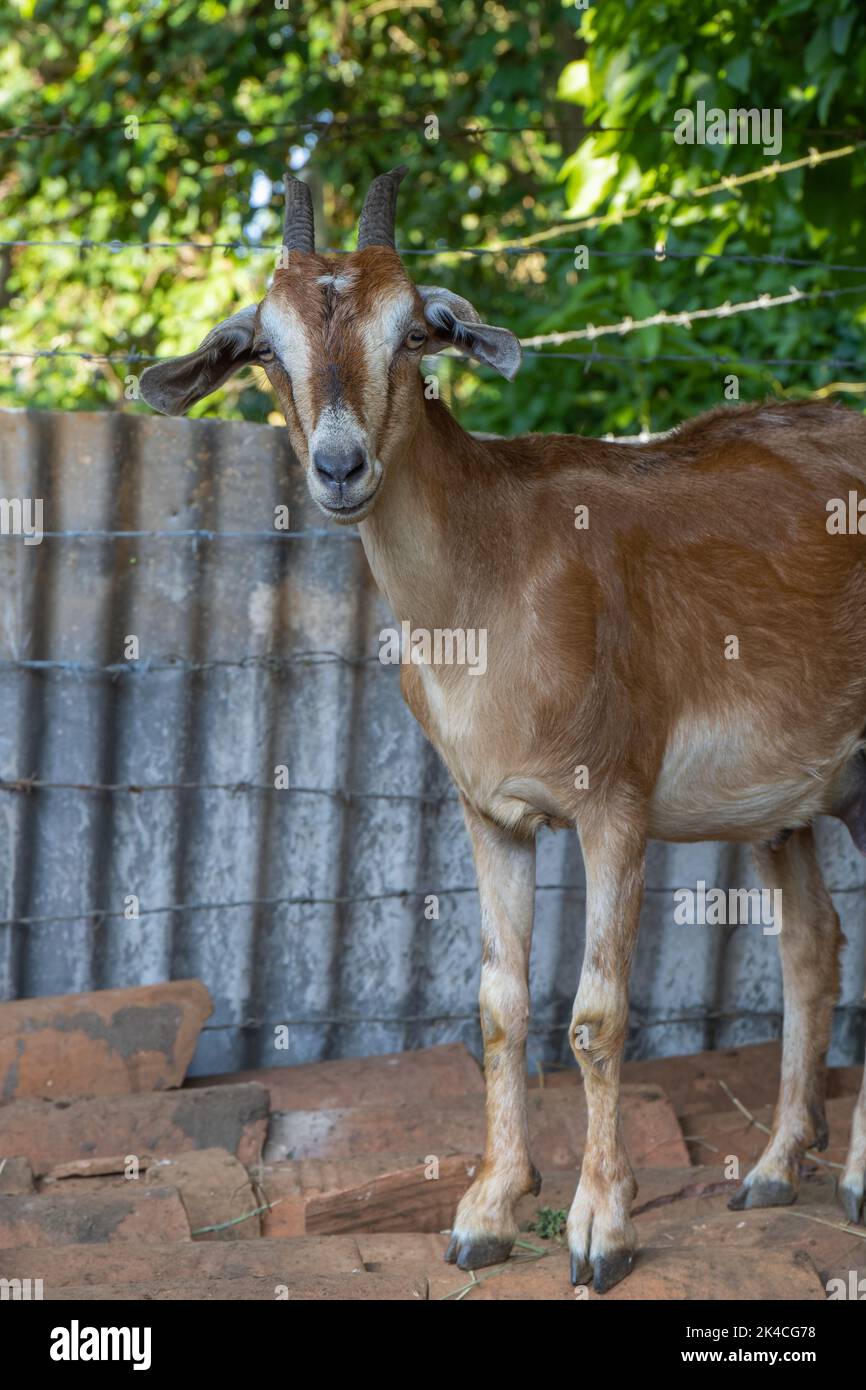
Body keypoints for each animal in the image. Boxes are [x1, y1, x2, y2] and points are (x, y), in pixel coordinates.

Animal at [141, 167, 866, 1293]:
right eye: (264, 346)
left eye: (413, 332)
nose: (340, 467)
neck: (492, 575)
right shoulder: (490, 811)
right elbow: (497, 1005)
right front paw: (485, 1210)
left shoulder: (615, 799)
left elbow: (596, 1017)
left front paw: (599, 1229)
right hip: (789, 802)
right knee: (811, 947)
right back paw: (773, 1168)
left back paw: (851, 1179)